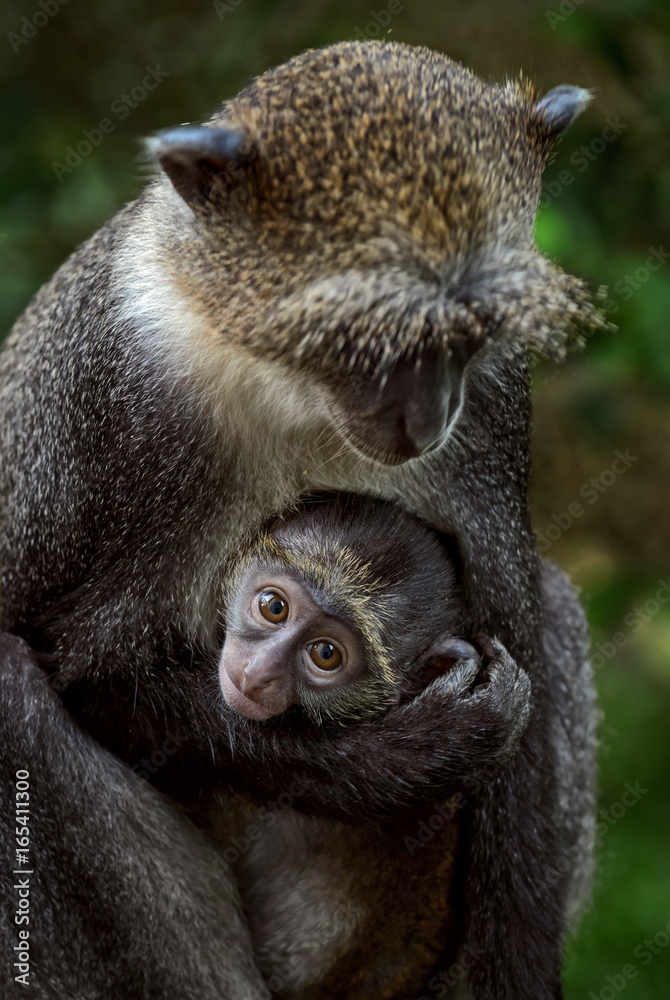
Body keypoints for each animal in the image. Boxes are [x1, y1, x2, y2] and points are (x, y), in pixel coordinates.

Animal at [0, 41, 600, 999]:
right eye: (370, 336)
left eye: (464, 337)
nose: (429, 415)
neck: (285, 379)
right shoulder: (121, 400)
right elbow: (93, 673)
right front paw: (401, 759)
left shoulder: (495, 408)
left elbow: (523, 642)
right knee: (10, 690)